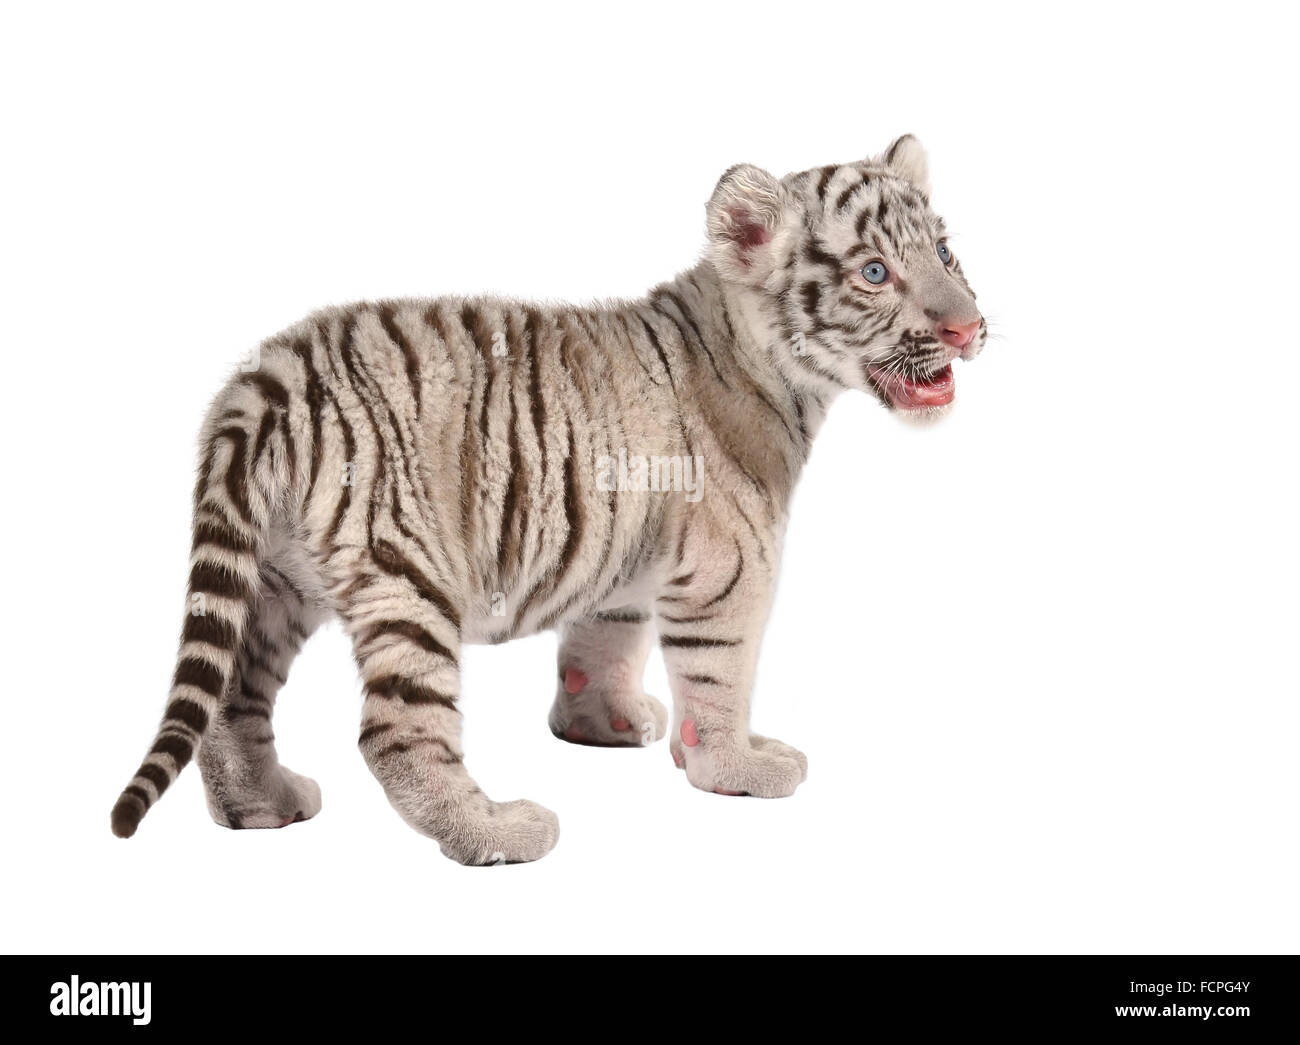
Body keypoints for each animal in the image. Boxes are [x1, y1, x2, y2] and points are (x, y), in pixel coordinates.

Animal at [110, 135, 986, 864]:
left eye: (946, 251)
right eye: (874, 273)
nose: (969, 328)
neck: (773, 370)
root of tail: (266, 382)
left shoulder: (627, 552)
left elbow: (604, 643)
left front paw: (605, 726)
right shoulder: (727, 569)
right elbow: (719, 677)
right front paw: (738, 765)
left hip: (272, 577)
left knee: (230, 699)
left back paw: (264, 806)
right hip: (405, 572)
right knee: (396, 734)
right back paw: (499, 830)